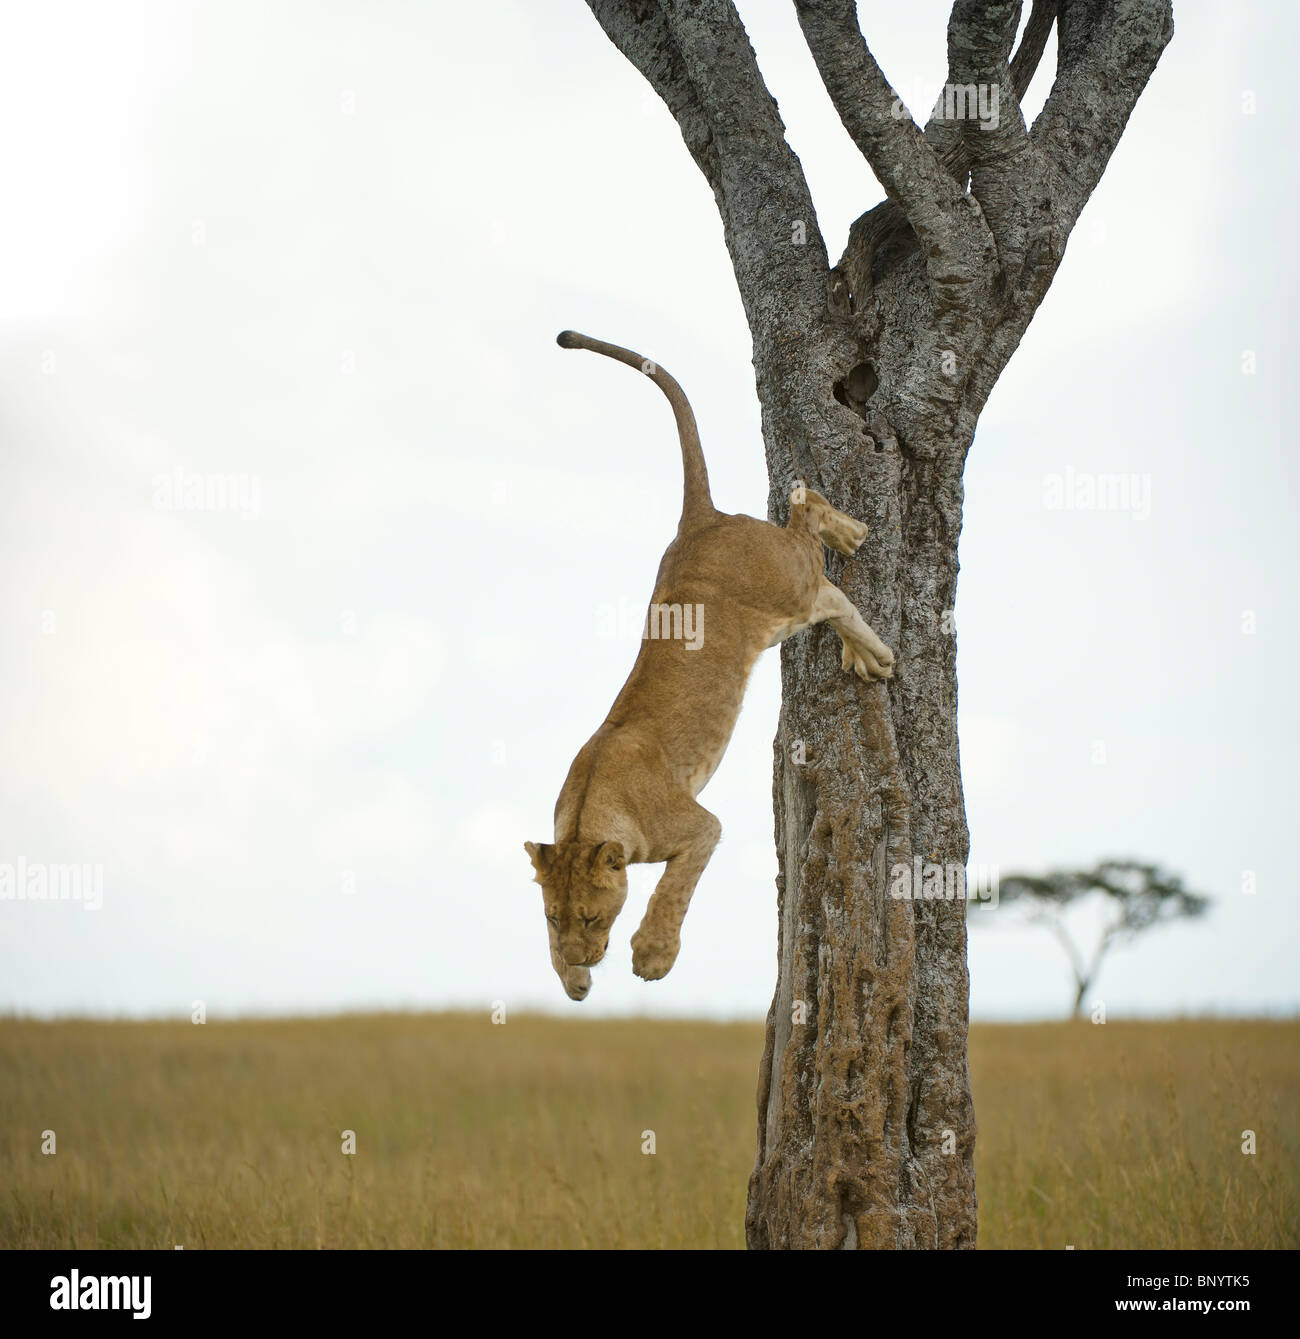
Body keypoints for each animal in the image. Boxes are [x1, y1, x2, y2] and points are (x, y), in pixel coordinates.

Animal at [525, 330, 894, 1001]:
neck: (590, 813)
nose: (584, 960)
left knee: (810, 531)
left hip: (785, 594)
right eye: (551, 918)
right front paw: (569, 978)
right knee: (820, 564)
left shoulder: (699, 827)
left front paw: (652, 955)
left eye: (591, 917)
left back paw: (859, 575)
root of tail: (702, 519)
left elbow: (675, 886)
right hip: (784, 601)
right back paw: (863, 646)